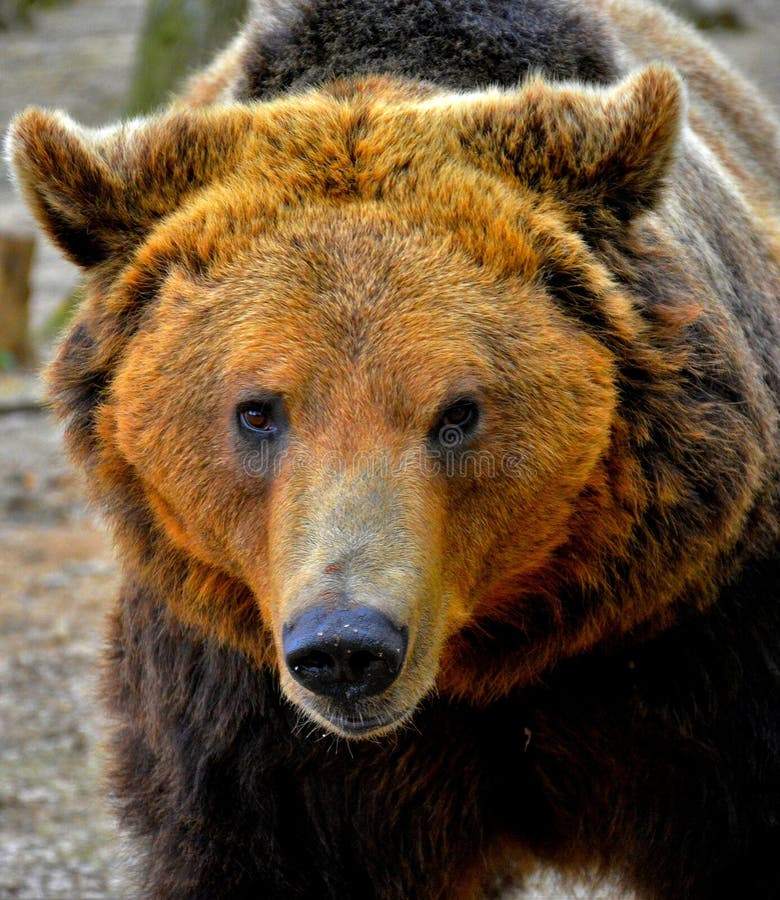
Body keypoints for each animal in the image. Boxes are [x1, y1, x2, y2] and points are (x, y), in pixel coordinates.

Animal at [6, 0, 779, 897]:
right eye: (257, 411)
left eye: (458, 412)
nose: (347, 649)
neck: (488, 659)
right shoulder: (249, 719)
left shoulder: (699, 649)